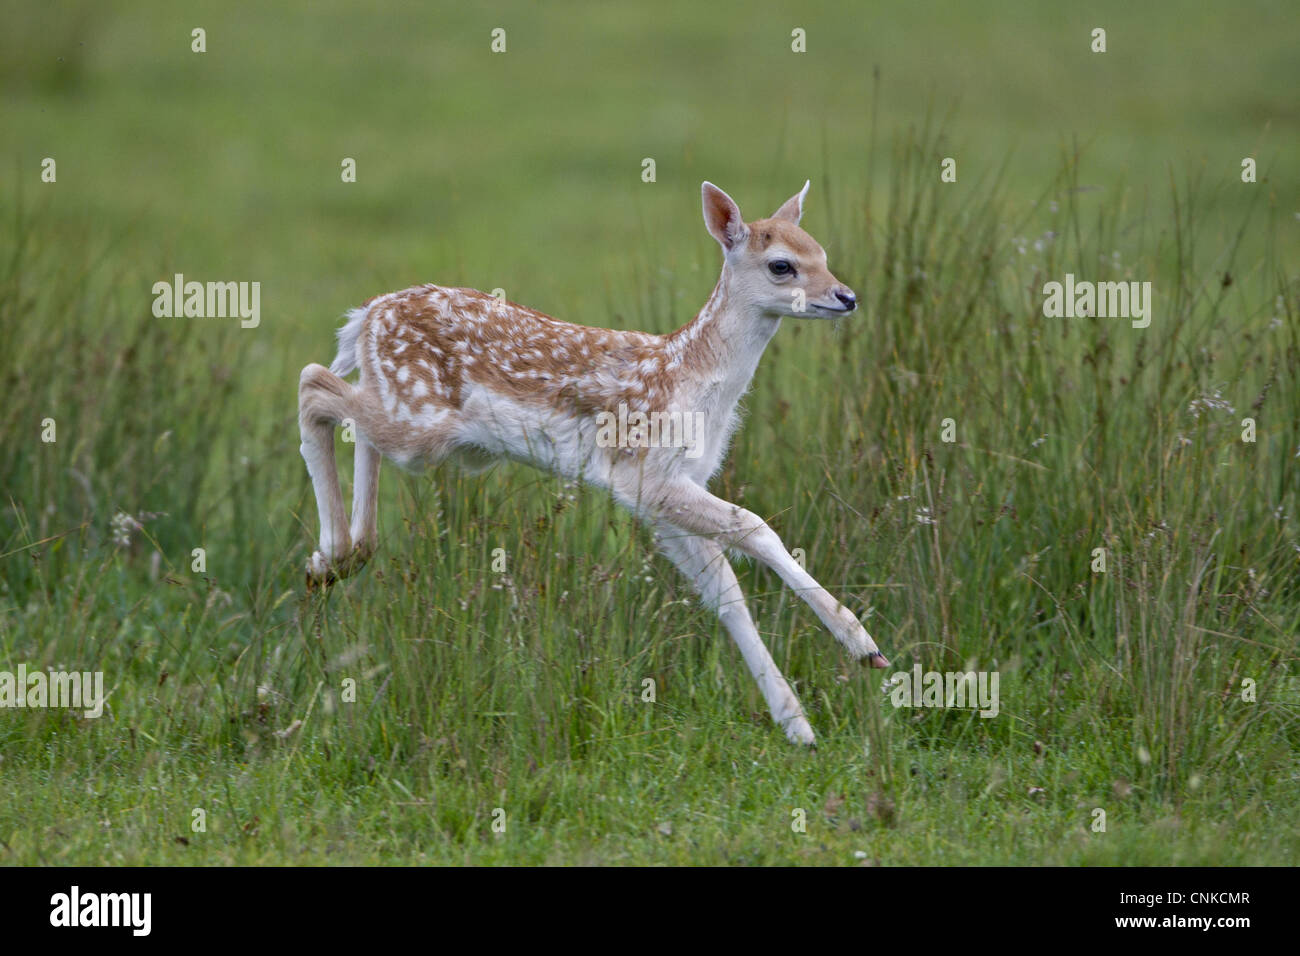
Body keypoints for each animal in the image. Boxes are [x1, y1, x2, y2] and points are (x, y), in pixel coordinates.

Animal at [298, 180, 889, 745]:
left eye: (822, 253)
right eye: (782, 265)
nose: (847, 296)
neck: (692, 380)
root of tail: (367, 314)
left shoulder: (670, 495)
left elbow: (726, 595)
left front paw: (798, 726)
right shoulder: (643, 475)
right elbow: (756, 527)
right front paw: (863, 645)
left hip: (425, 430)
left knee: (349, 414)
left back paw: (340, 558)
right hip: (420, 425)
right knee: (314, 384)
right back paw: (331, 555)